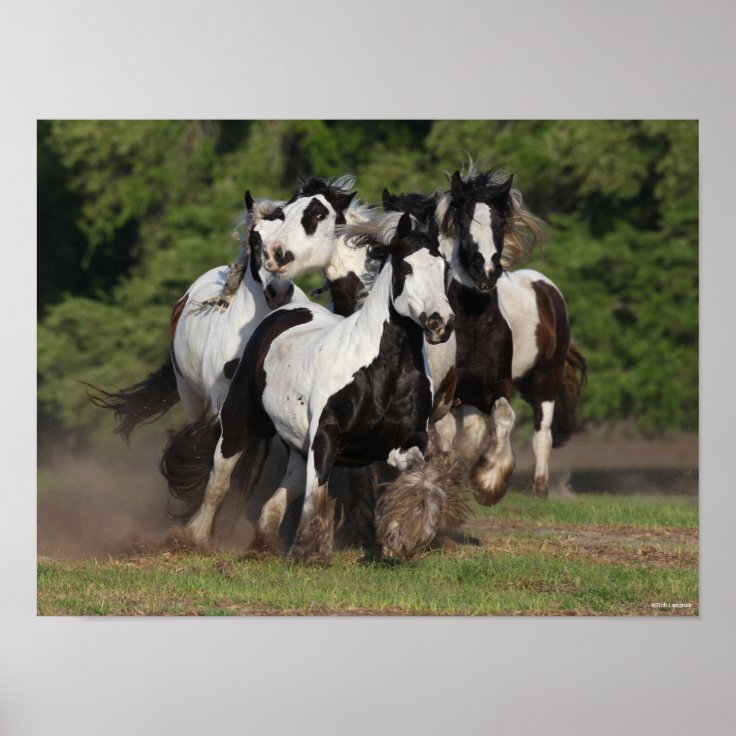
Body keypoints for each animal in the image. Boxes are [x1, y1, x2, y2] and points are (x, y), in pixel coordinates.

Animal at [162, 212, 456, 561]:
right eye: (405, 267)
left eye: (444, 267)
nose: (440, 322)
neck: (381, 372)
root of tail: (283, 312)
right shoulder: (326, 437)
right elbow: (316, 494)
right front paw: (308, 550)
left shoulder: (405, 443)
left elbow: (421, 484)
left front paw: (405, 536)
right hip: (237, 424)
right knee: (218, 482)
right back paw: (196, 537)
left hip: (298, 444)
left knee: (277, 497)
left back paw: (264, 542)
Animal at [384, 167, 586, 499]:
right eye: (464, 221)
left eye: (500, 222)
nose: (487, 272)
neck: (473, 324)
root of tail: (547, 289)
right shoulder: (451, 391)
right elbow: (448, 435)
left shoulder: (496, 385)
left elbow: (502, 420)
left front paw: (488, 480)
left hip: (545, 379)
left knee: (541, 435)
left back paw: (540, 488)